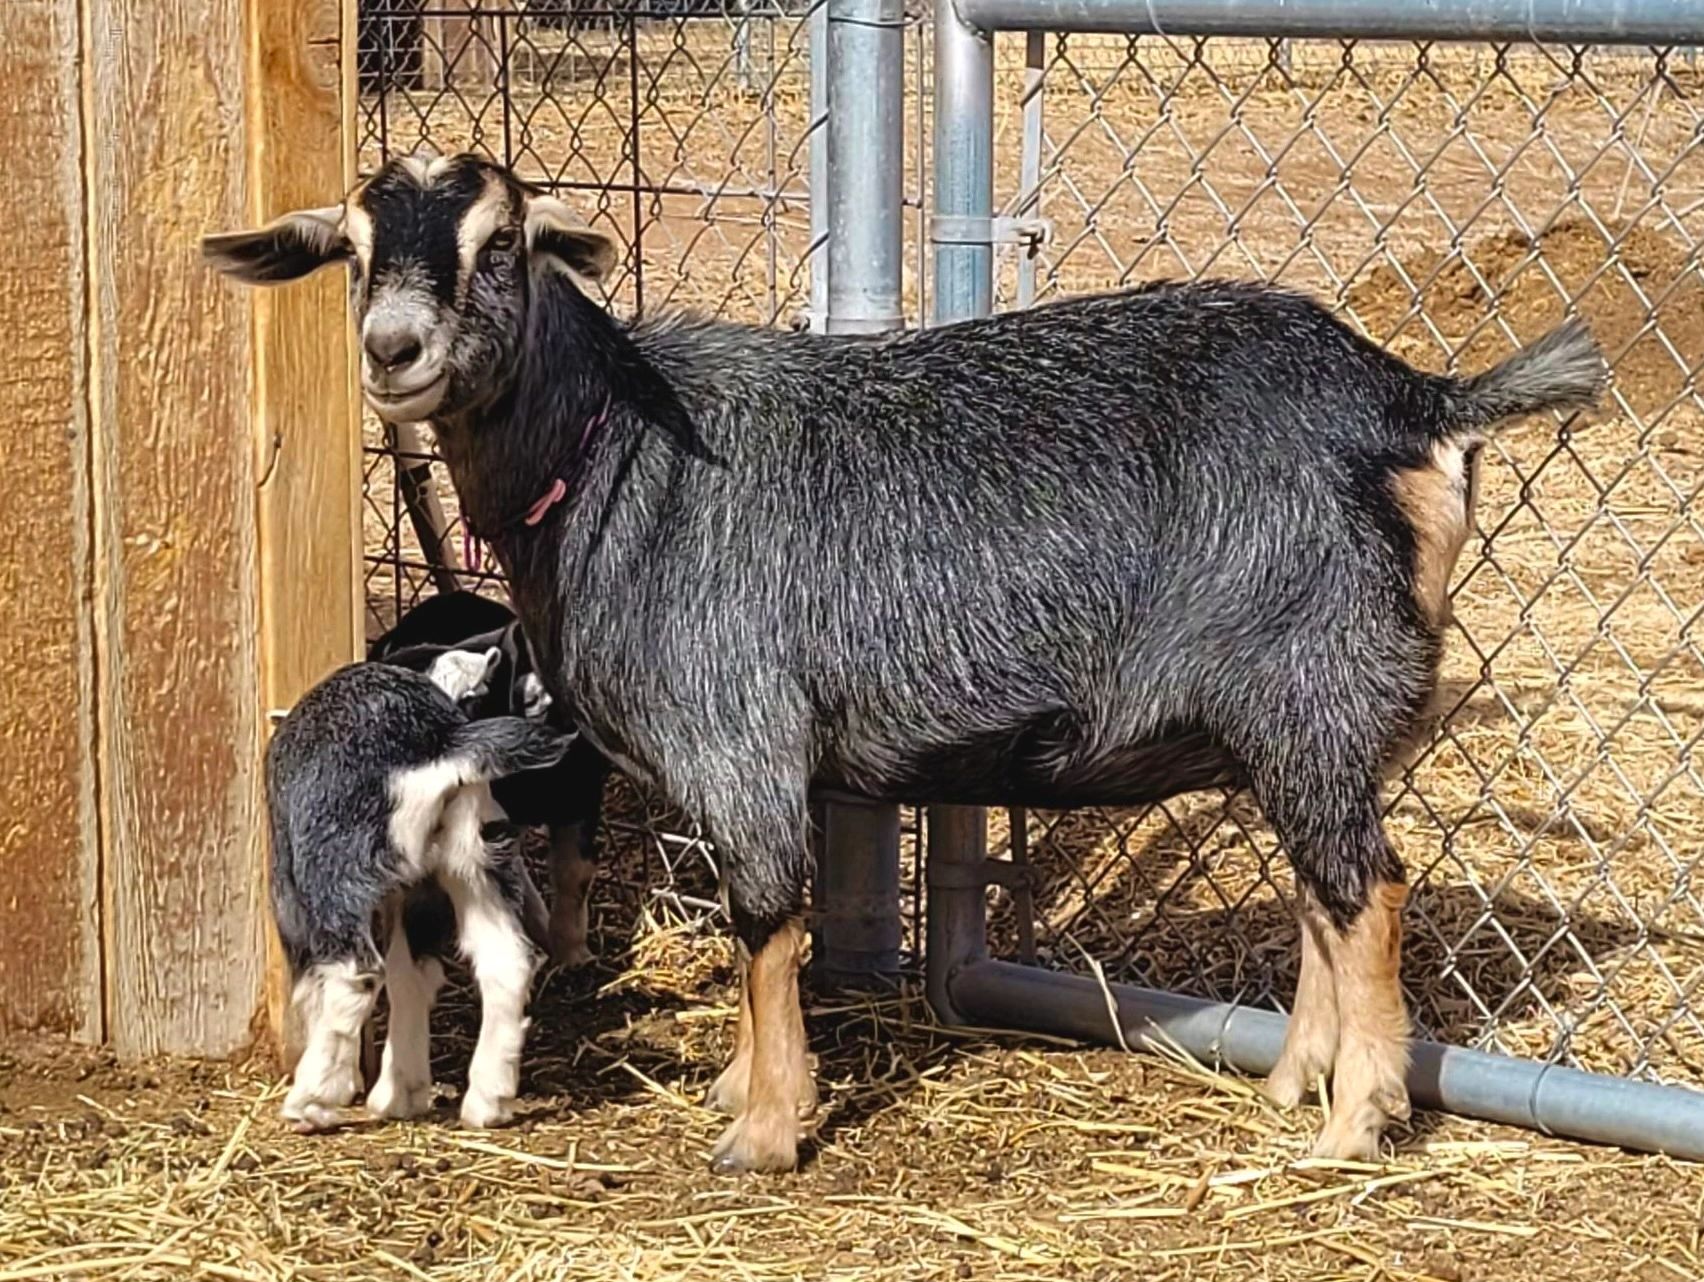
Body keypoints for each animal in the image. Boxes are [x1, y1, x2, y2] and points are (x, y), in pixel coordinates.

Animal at [267, 646, 574, 1132]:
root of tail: (440, 744)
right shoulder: (415, 892)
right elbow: (411, 975)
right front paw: (403, 1092)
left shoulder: (290, 887)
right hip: (474, 860)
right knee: (506, 960)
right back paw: (488, 1100)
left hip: (330, 870)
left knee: (356, 973)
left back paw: (311, 1100)